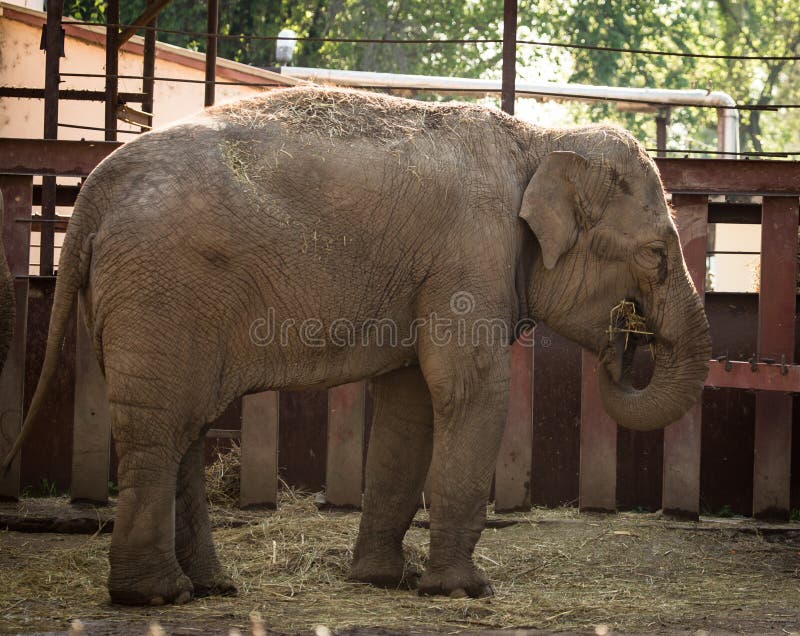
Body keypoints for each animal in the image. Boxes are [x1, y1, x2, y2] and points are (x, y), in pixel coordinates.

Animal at [2, 86, 710, 605]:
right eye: (655, 255)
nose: (626, 338)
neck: (536, 140)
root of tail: (96, 185)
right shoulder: (470, 256)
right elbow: (469, 390)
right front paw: (463, 592)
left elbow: (410, 405)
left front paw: (379, 581)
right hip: (161, 290)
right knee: (160, 429)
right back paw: (156, 597)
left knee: (183, 427)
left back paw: (210, 588)